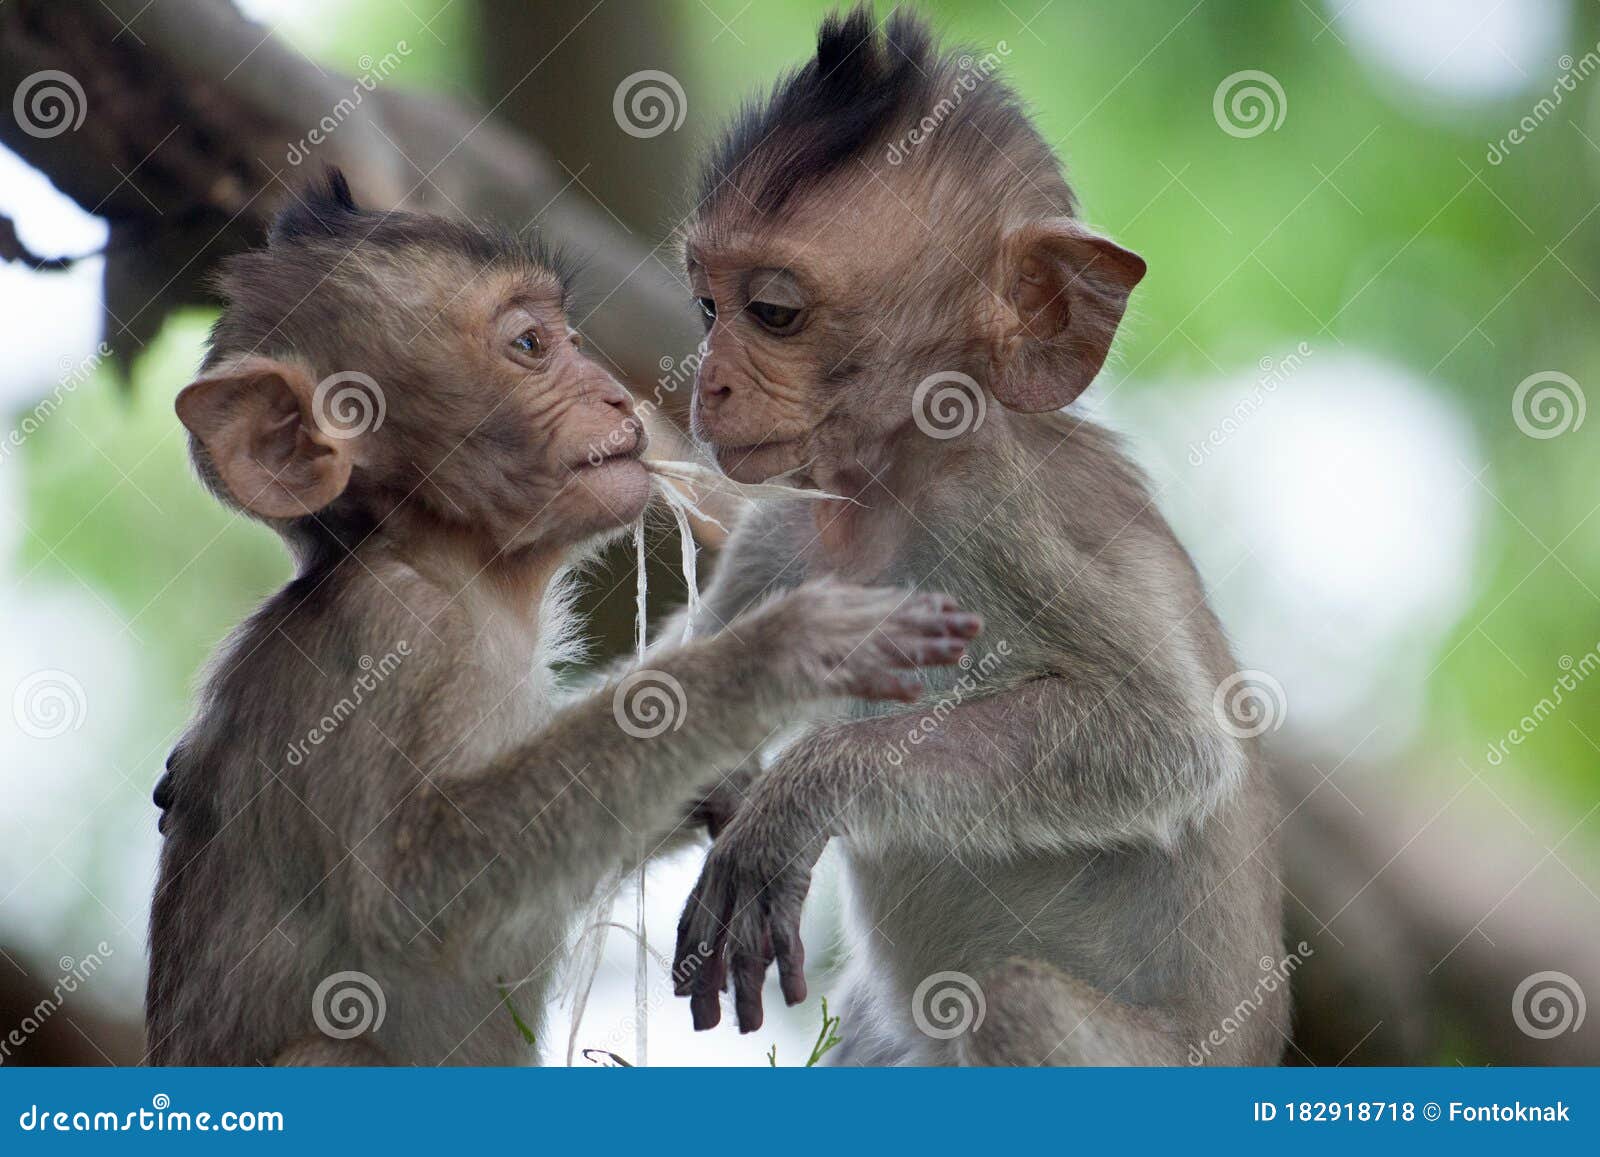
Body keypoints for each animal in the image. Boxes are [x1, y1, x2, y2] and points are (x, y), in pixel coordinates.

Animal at [143, 171, 982, 1066]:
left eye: (567, 335)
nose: (614, 393)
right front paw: (779, 650)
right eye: (530, 345)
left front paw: (722, 785)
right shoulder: (386, 636)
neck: (463, 574)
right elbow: (411, 896)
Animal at [669, 7, 1286, 1066]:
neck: (885, 487)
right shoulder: (786, 522)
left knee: (1011, 1001)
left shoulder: (994, 511)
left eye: (774, 312)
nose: (709, 382)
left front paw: (794, 798)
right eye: (708, 305)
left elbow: (1164, 740)